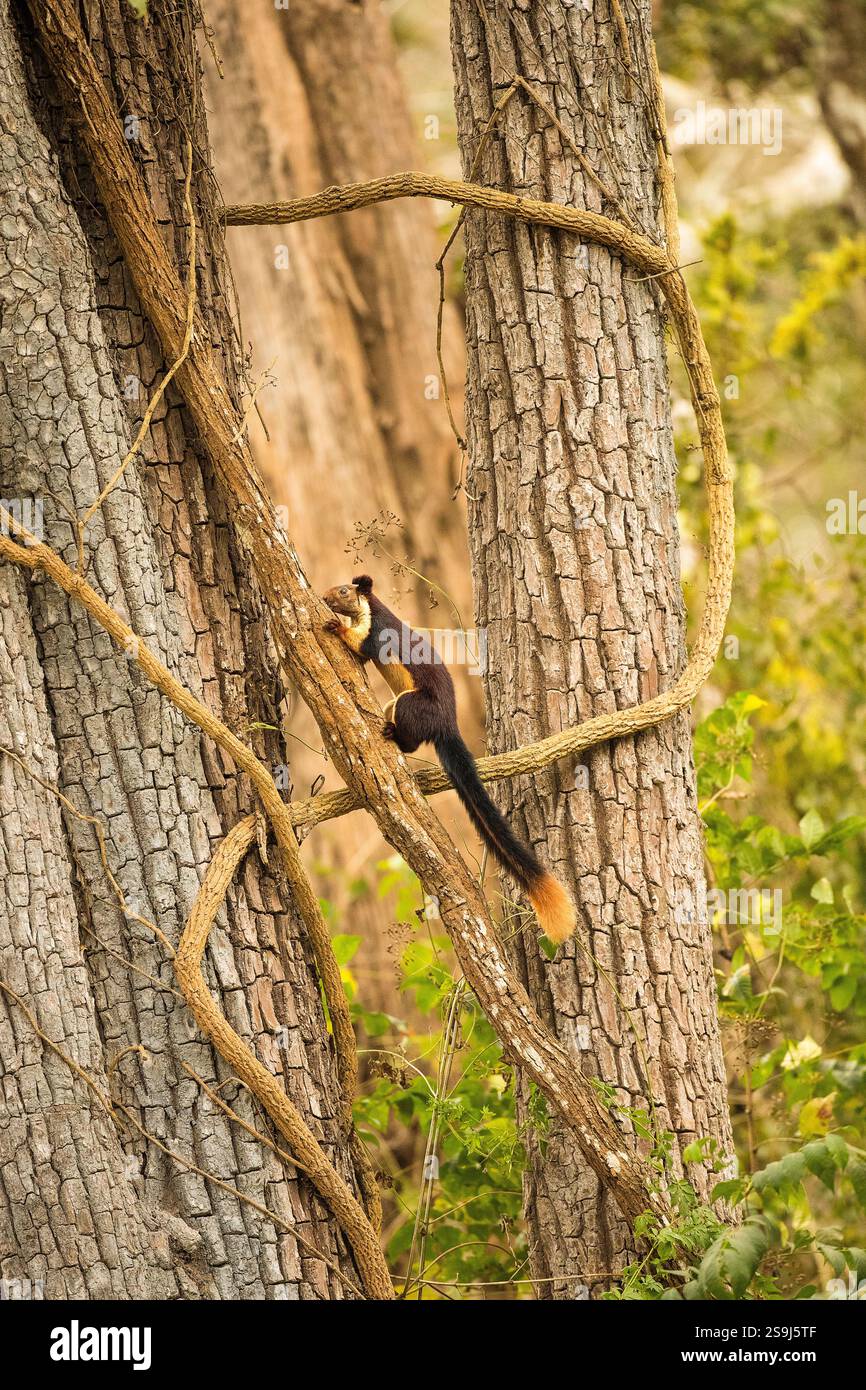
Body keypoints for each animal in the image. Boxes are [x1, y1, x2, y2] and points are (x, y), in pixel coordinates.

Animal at [322, 574, 576, 944]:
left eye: (344, 591)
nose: (325, 597)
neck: (367, 612)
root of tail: (446, 725)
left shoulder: (376, 633)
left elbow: (358, 646)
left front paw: (335, 626)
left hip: (410, 703)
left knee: (411, 737)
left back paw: (391, 734)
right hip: (393, 703)